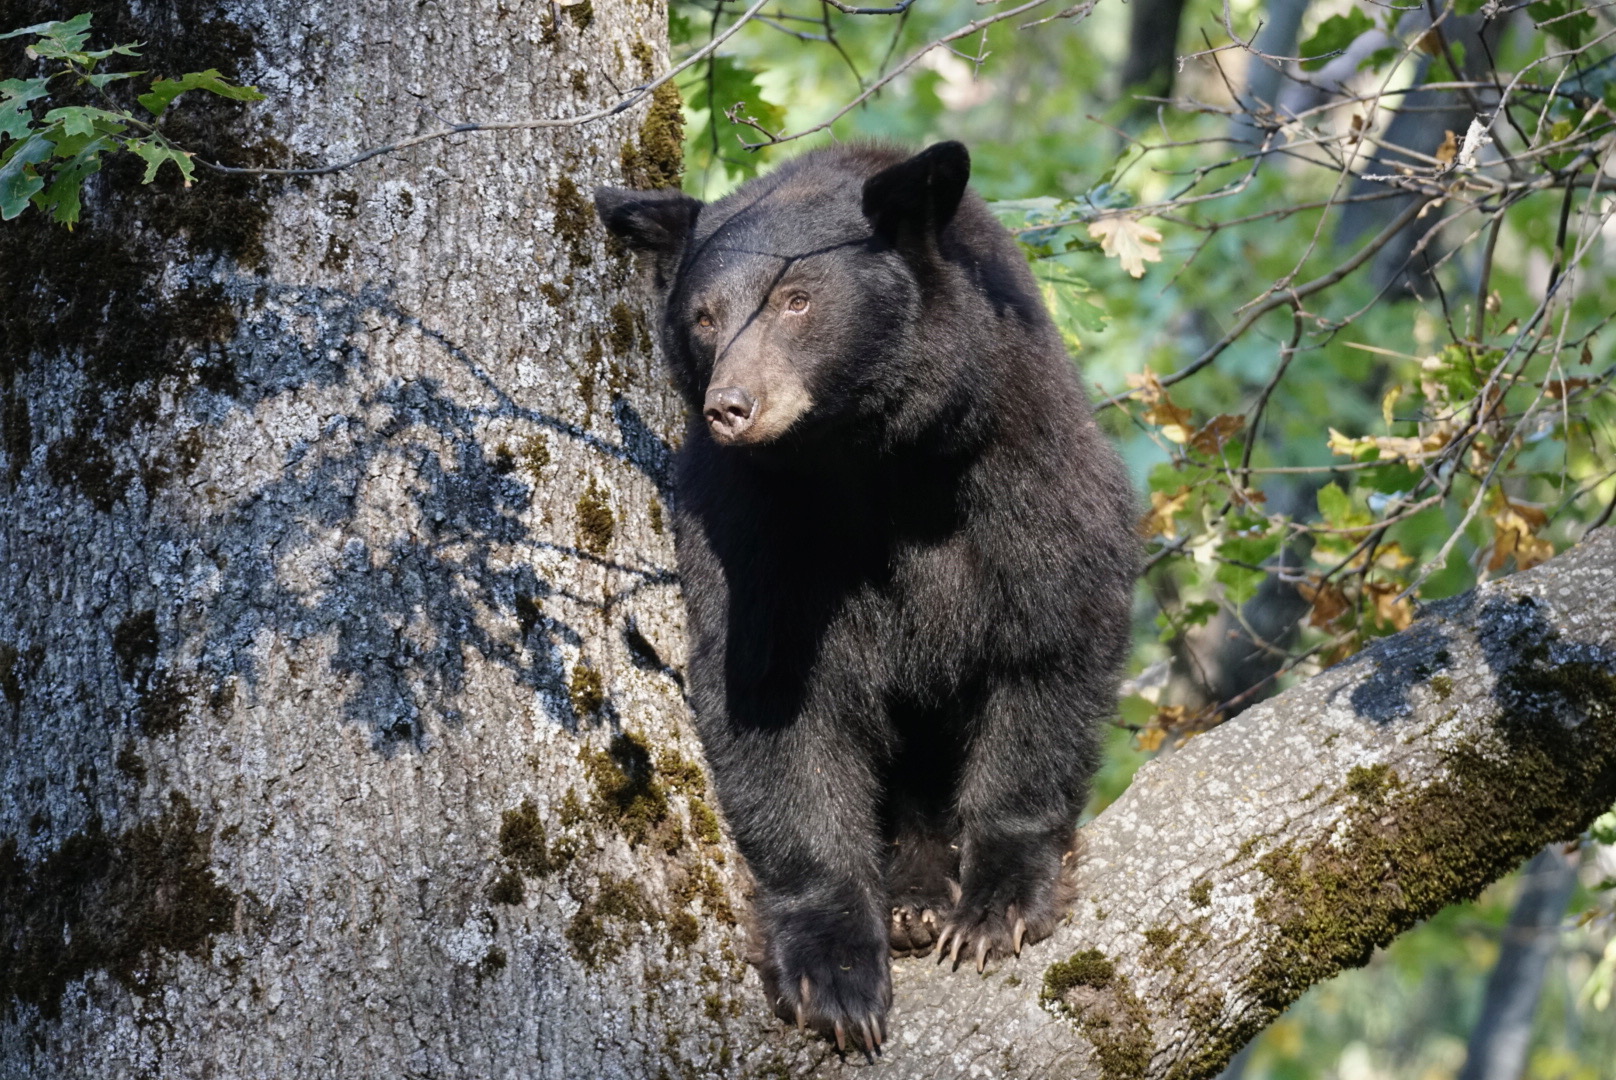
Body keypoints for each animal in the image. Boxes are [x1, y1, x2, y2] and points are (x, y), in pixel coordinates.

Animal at [595, 142, 1137, 1053]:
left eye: (797, 300)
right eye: (704, 317)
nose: (732, 406)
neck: (866, 460)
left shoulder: (1022, 464)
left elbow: (1050, 639)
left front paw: (997, 905)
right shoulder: (750, 528)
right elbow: (773, 701)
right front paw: (835, 971)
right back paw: (911, 898)